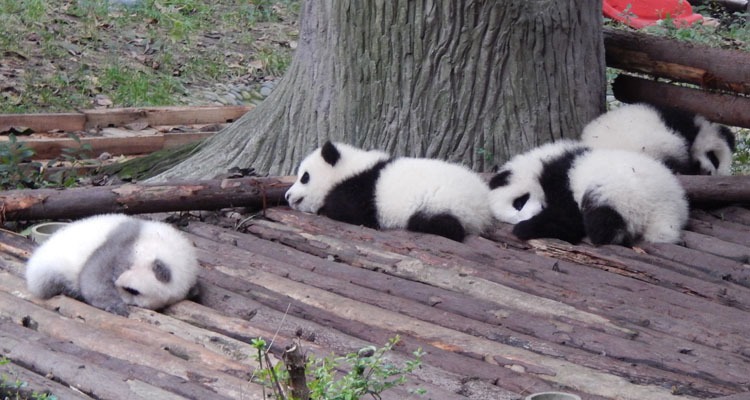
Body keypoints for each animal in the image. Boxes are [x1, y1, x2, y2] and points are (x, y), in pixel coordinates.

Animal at [25, 214, 200, 316]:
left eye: (134, 294)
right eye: (132, 290)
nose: (125, 301)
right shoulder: (123, 240)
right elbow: (95, 273)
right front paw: (116, 306)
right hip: (48, 267)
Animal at [284, 141, 493, 242]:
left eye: (304, 177)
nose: (287, 195)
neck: (347, 169)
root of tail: (482, 207)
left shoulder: (359, 191)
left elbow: (348, 211)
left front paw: (323, 208)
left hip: (442, 203)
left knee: (441, 224)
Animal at [488, 142, 689, 246]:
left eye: (518, 203)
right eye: (513, 214)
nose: (528, 217)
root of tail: (667, 208)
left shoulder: (561, 179)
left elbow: (567, 220)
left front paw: (524, 228)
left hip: (621, 195)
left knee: (602, 221)